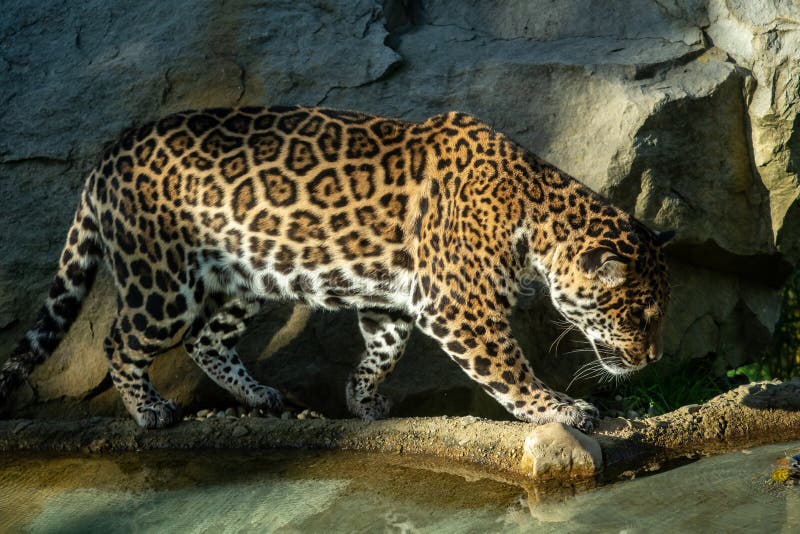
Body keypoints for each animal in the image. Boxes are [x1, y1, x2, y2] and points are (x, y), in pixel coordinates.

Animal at [0, 106, 672, 432]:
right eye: (637, 316)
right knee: (122, 341)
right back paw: (150, 413)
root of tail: (107, 155)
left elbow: (384, 349)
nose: (653, 359)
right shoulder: (461, 306)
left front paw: (361, 401)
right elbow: (509, 368)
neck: (533, 214)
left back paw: (263, 397)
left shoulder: (394, 300)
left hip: (248, 274)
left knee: (206, 339)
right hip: (161, 282)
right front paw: (560, 410)